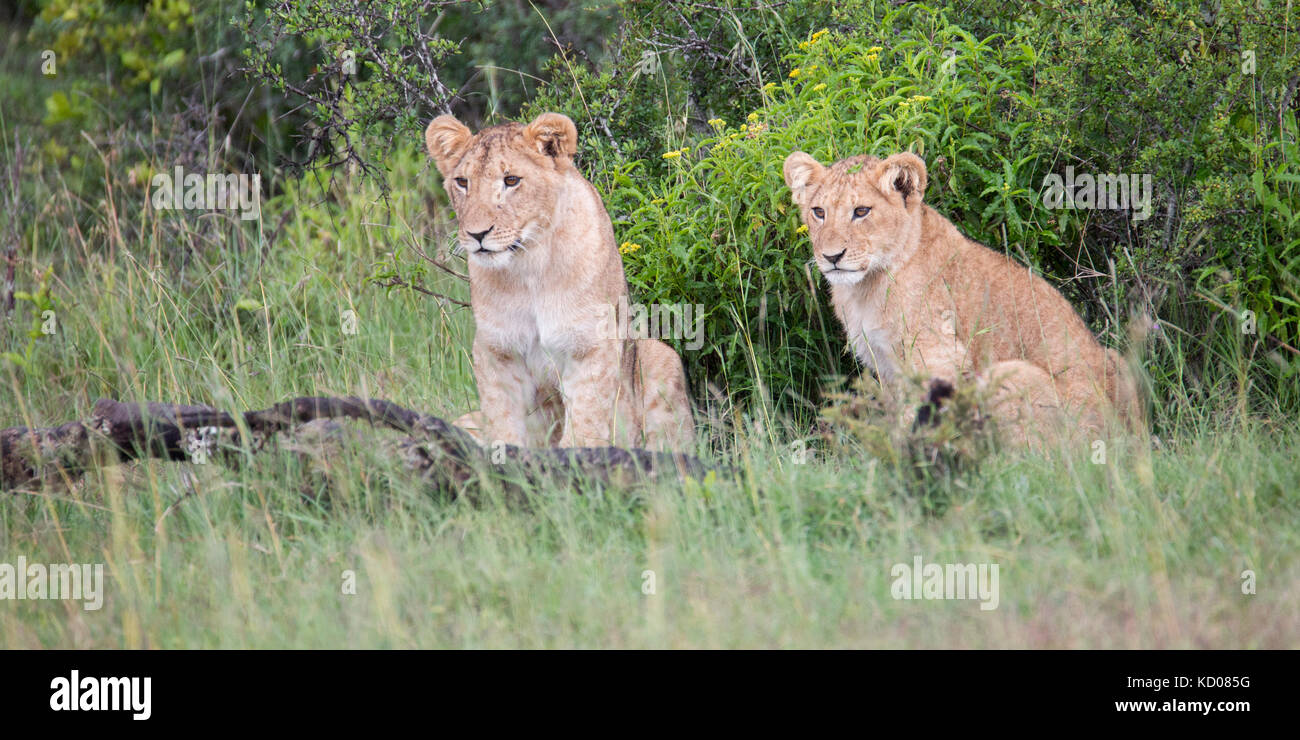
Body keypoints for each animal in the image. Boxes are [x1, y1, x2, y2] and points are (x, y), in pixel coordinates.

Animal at [424, 112, 694, 450]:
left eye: (511, 180)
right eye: (462, 182)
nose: (477, 234)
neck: (528, 266)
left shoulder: (591, 345)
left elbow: (586, 422)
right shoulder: (496, 349)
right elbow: (503, 420)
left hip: (660, 356)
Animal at [783, 149, 1143, 448]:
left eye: (861, 211)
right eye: (818, 212)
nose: (832, 257)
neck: (864, 286)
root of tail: (1127, 437)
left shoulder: (938, 357)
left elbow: (915, 418)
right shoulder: (887, 367)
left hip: (1009, 377)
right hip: (1118, 361)